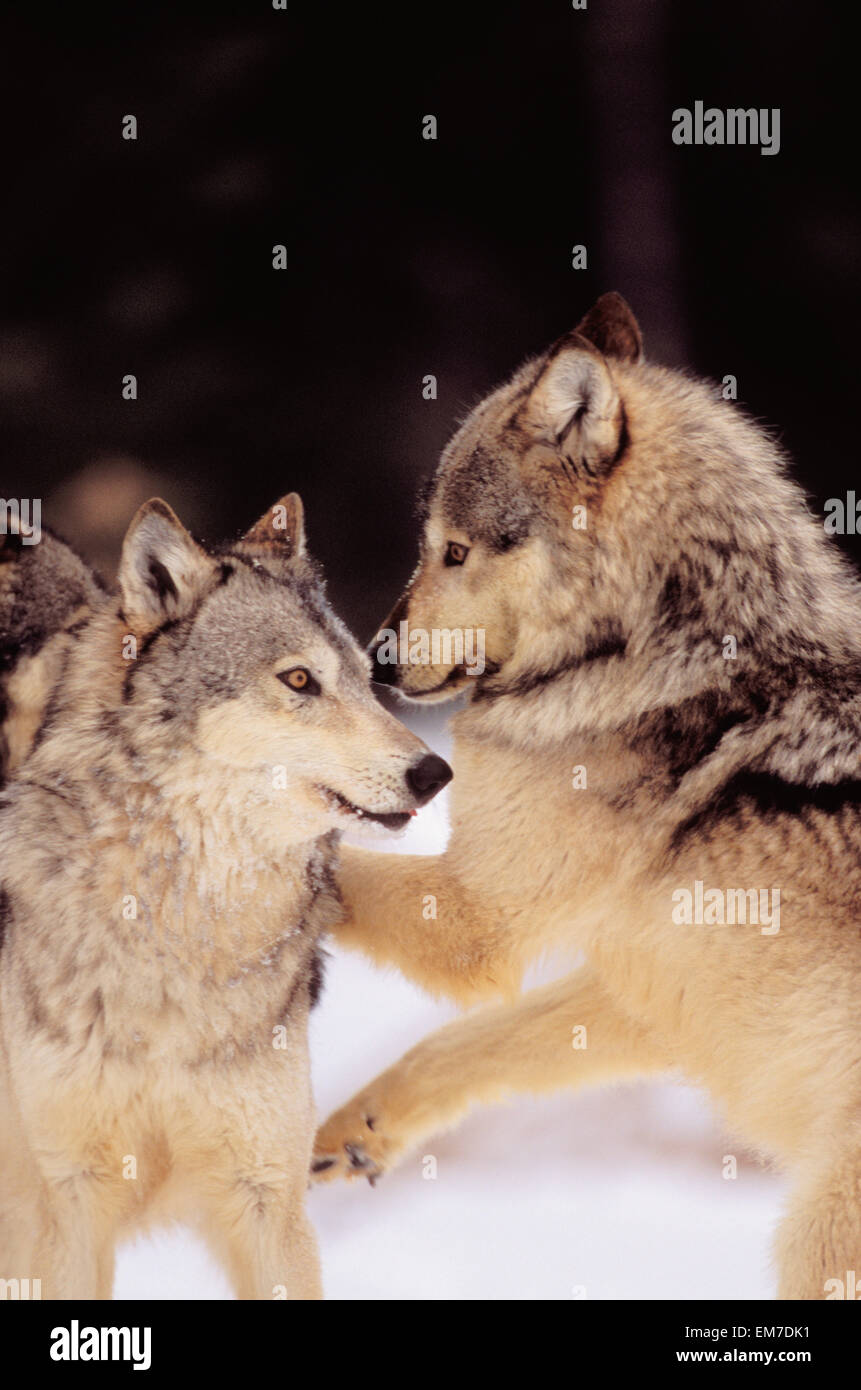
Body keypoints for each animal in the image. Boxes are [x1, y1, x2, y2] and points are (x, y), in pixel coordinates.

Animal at [312, 293, 861, 1300]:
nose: (375, 662)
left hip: (812, 1243)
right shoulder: (639, 985)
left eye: (453, 549)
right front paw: (357, 1129)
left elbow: (326, 860)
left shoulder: (473, 917)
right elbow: (457, 1046)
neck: (638, 651)